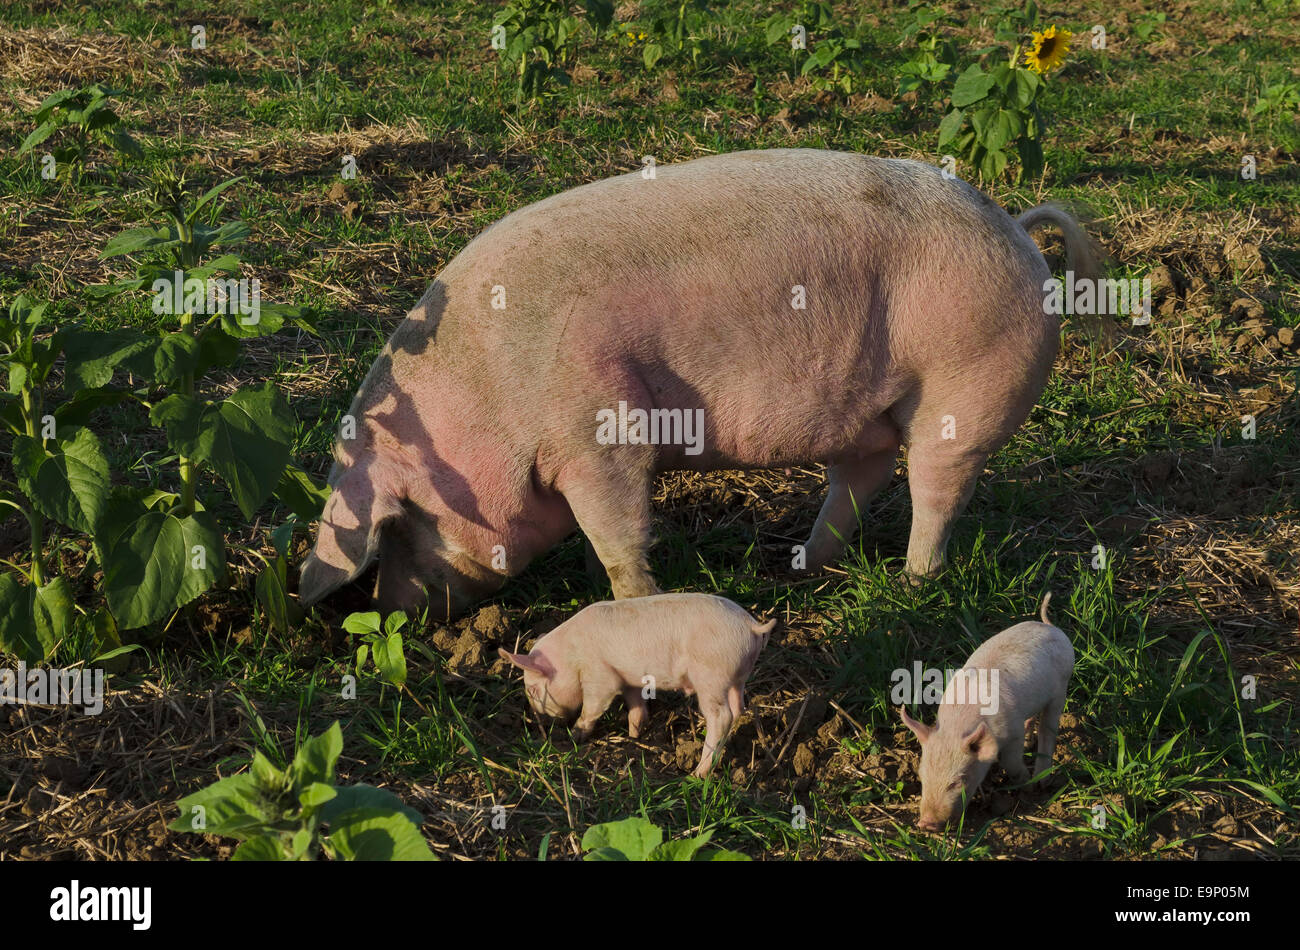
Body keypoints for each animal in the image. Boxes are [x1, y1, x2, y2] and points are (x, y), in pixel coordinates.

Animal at [298, 148, 1099, 616]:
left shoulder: (602, 429)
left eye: (406, 521)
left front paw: (637, 605)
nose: (394, 616)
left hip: (967, 386)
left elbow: (619, 532)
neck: (492, 390)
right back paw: (801, 567)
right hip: (868, 410)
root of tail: (1019, 231)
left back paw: (912, 584)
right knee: (861, 475)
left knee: (938, 487)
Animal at [497, 592, 775, 778]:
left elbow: (593, 705)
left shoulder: (600, 675)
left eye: (533, 689)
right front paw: (633, 734)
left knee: (721, 716)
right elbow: (636, 706)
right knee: (738, 708)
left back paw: (697, 774)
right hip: (736, 678)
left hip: (710, 675)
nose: (543, 722)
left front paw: (576, 735)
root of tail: (751, 625)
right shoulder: (628, 678)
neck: (570, 656)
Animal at [899, 594, 1073, 830]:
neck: (958, 724)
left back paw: (1041, 781)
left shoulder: (1012, 731)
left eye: (957, 782)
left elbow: (1011, 764)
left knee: (1049, 728)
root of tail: (1051, 627)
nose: (925, 824)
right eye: (922, 776)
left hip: (1060, 689)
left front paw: (1026, 786)